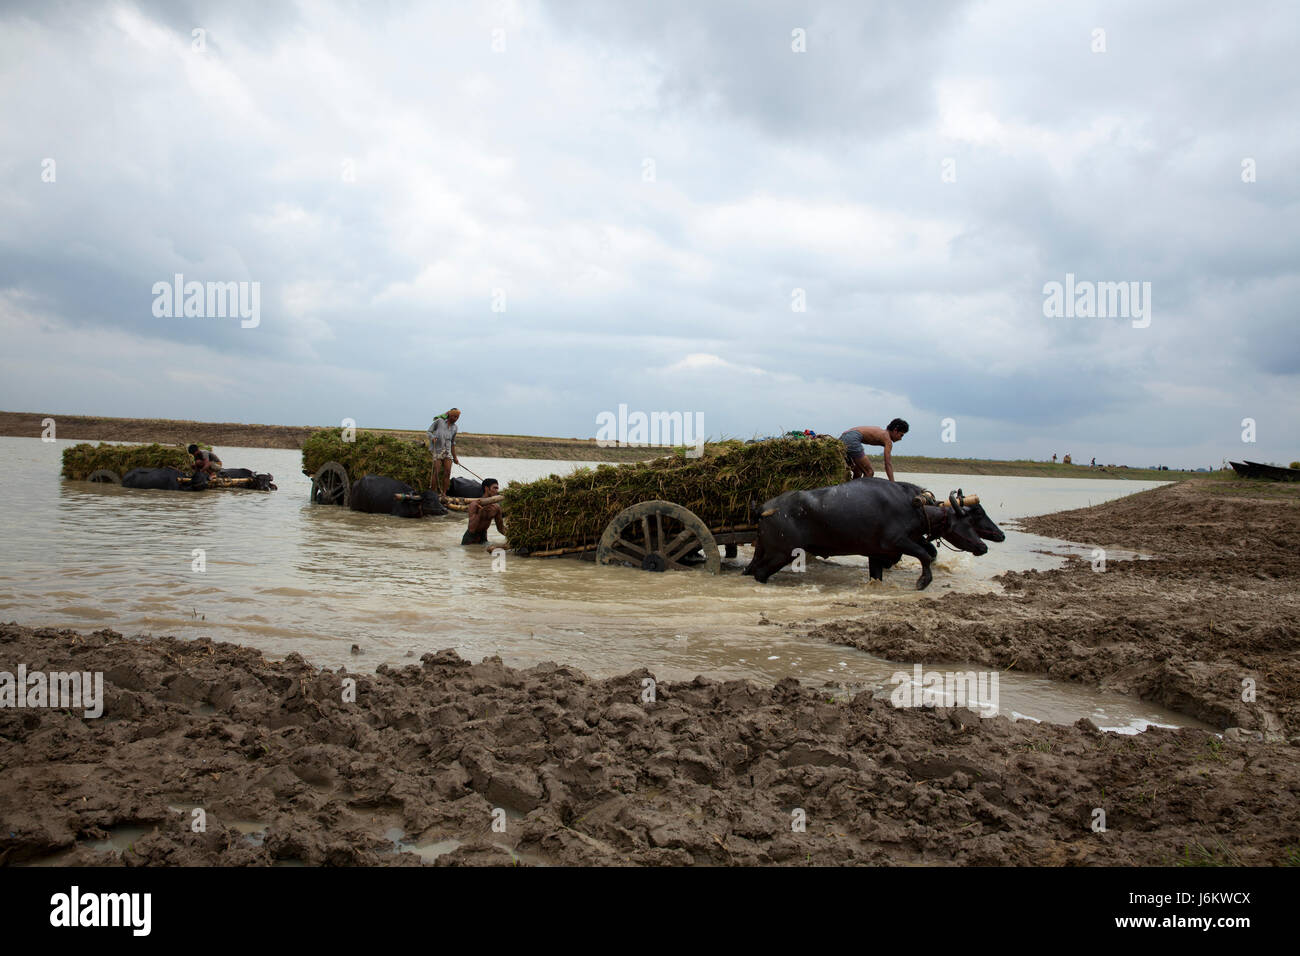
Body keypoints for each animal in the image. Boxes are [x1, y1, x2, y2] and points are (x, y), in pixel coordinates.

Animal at [744, 479, 997, 590]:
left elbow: (878, 576)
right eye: (969, 520)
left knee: (751, 569)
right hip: (783, 553)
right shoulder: (899, 542)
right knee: (760, 573)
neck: (914, 507)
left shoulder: (876, 554)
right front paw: (922, 582)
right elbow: (925, 556)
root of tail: (763, 509)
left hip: (764, 550)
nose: (984, 546)